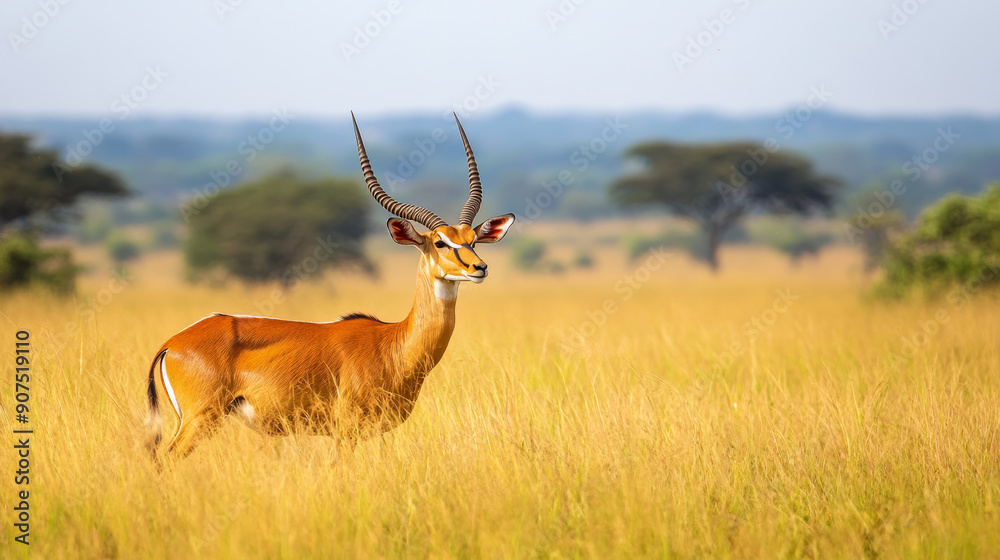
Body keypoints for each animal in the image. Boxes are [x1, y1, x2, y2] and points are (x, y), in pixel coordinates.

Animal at [144, 113, 515, 459]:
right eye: (439, 243)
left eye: (472, 240)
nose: (479, 268)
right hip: (200, 419)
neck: (393, 344)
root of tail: (171, 344)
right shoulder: (346, 433)